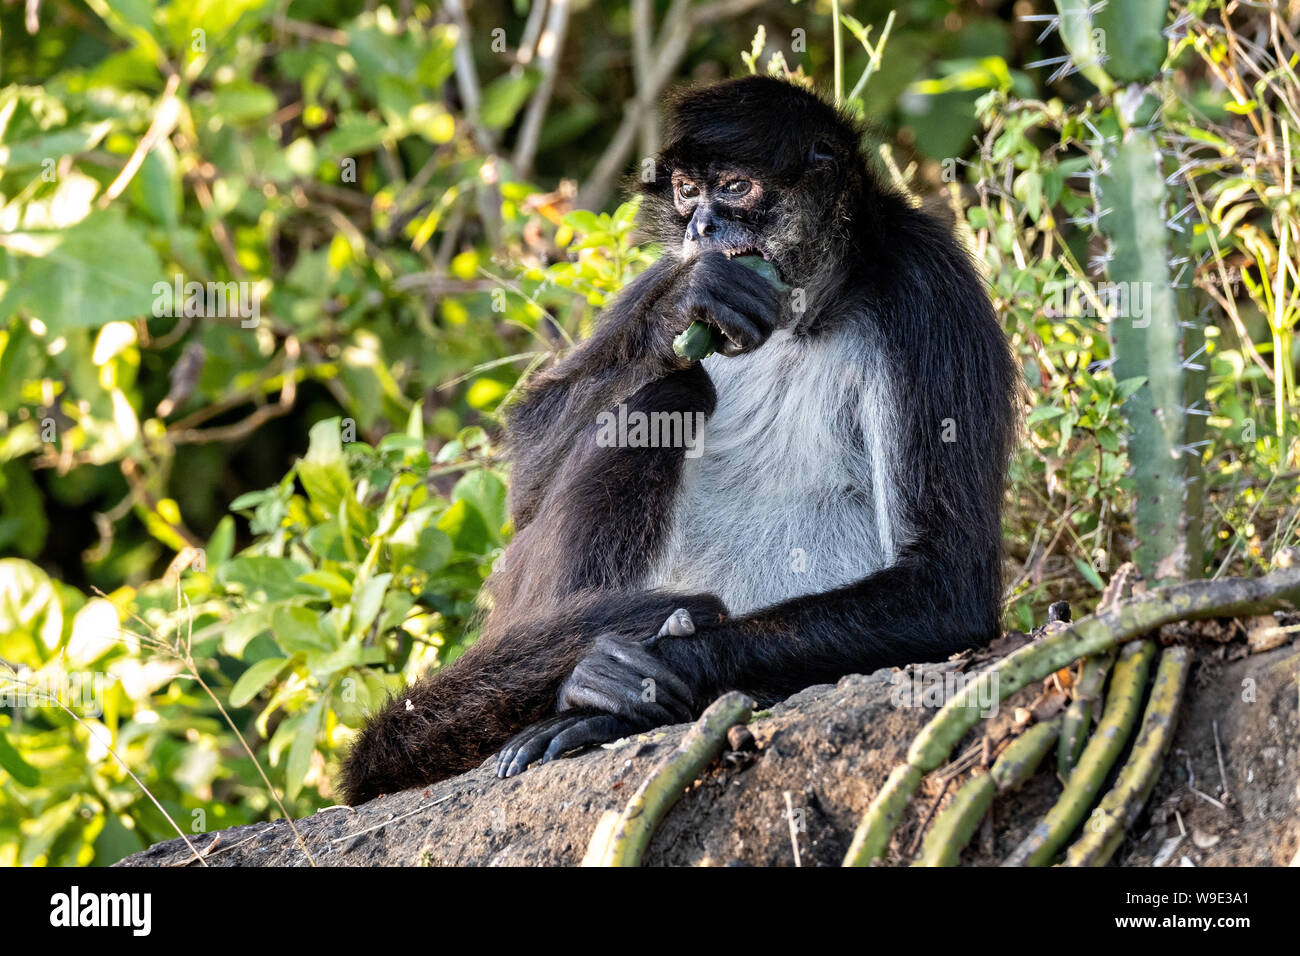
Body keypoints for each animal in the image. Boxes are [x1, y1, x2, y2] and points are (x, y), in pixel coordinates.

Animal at [338, 75, 1019, 805]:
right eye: (690, 192)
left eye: (737, 188)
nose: (701, 226)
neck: (802, 317)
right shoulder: (666, 270)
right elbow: (522, 487)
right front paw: (679, 310)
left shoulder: (928, 282)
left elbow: (948, 582)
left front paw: (626, 685)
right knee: (667, 392)